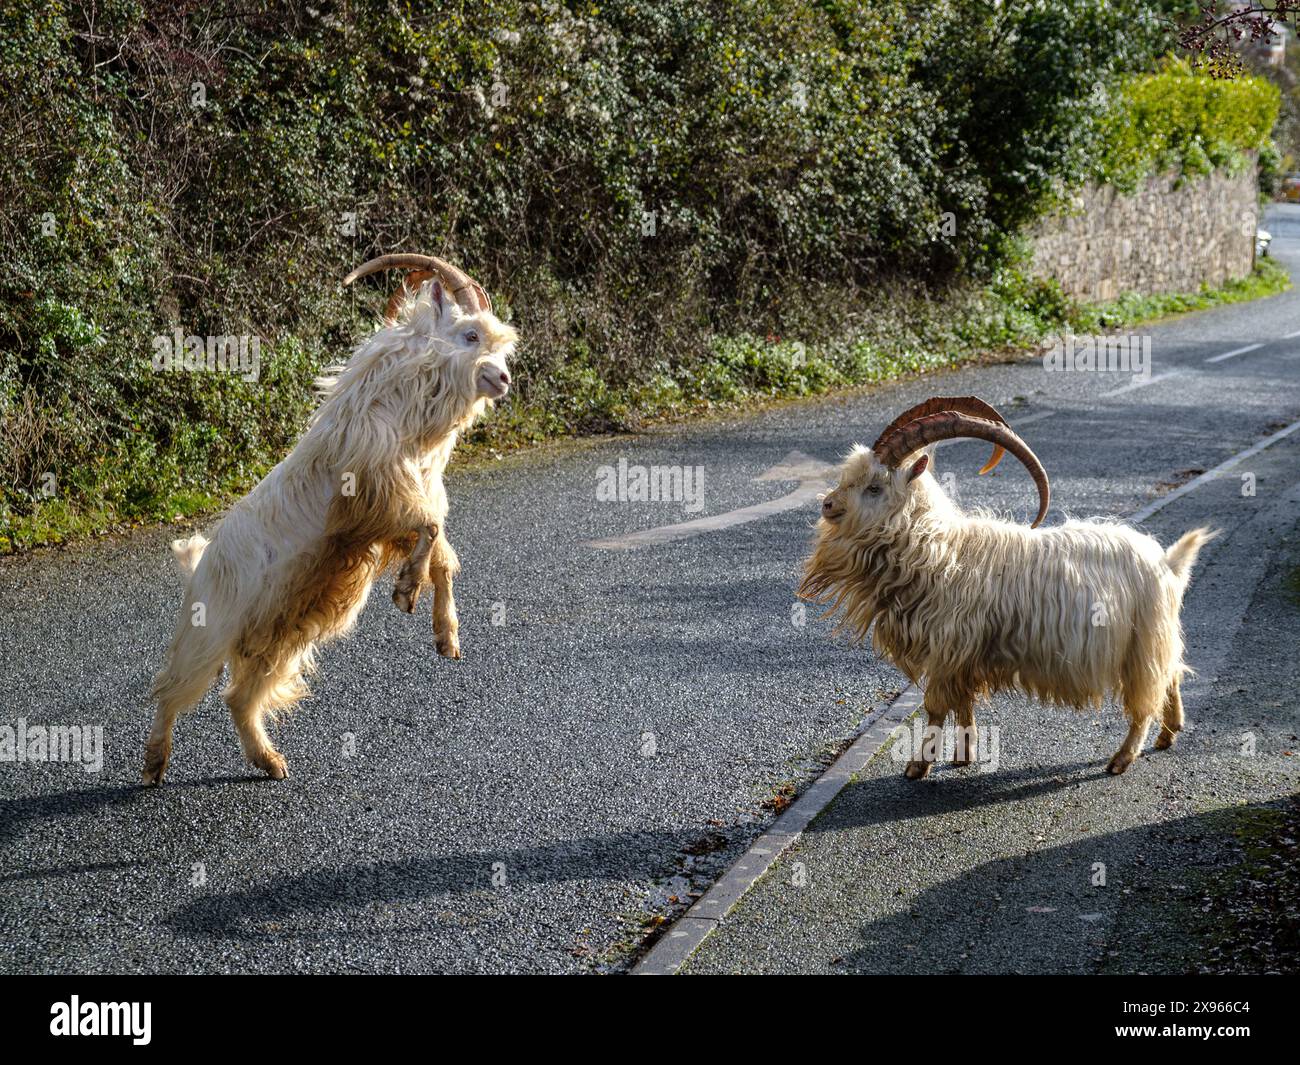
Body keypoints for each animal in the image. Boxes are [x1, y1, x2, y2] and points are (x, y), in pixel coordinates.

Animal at [144, 254, 516, 783]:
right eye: (469, 335)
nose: (503, 380)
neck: (404, 413)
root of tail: (197, 566)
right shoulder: (378, 497)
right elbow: (429, 532)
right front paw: (406, 591)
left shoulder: (408, 500)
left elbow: (442, 551)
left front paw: (446, 636)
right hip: (209, 631)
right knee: (172, 687)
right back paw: (155, 762)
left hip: (278, 635)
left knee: (240, 697)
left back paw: (270, 761)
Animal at [798, 396, 1215, 779]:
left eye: (874, 487)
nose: (828, 505)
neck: (939, 548)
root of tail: (1166, 563)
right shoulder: (964, 654)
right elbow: (963, 704)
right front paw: (963, 755)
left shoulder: (949, 646)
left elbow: (936, 705)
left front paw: (919, 766)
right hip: (1153, 638)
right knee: (1171, 673)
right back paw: (1169, 732)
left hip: (1140, 642)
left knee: (1145, 698)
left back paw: (1123, 758)